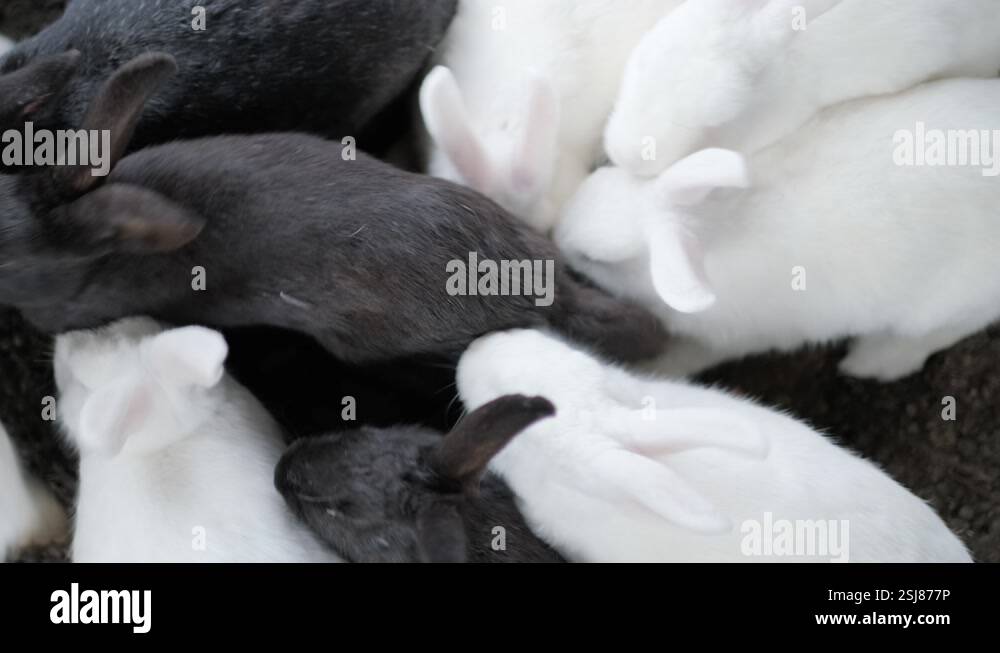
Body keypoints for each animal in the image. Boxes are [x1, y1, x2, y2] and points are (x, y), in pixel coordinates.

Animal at [558, 77, 1000, 381]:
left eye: (596, 259)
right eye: (599, 173)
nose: (557, 236)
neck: (713, 226)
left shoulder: (737, 337)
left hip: (950, 305)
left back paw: (868, 363)